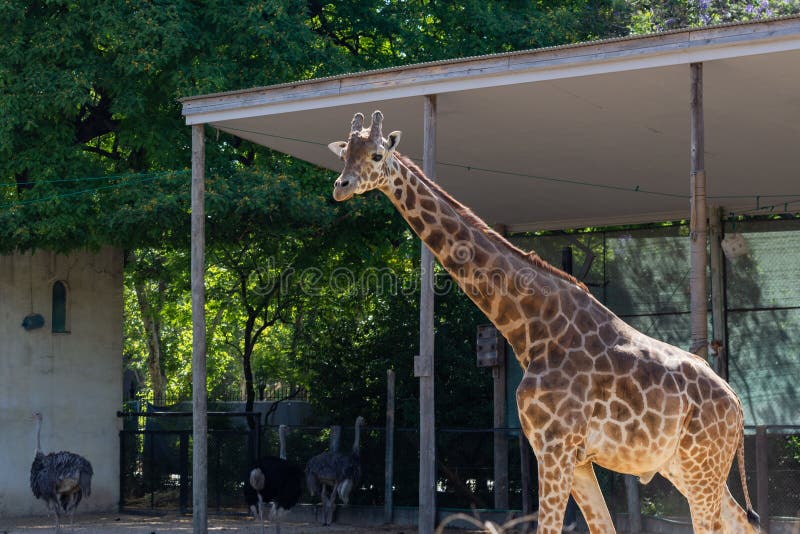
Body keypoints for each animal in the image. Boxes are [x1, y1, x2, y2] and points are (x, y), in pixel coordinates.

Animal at [328, 111, 761, 534]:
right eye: (345, 154)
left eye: (376, 156)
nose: (340, 187)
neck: (532, 329)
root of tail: (738, 406)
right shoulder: (575, 457)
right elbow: (601, 527)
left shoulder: (555, 447)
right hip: (684, 466)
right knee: (741, 521)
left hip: (700, 464)